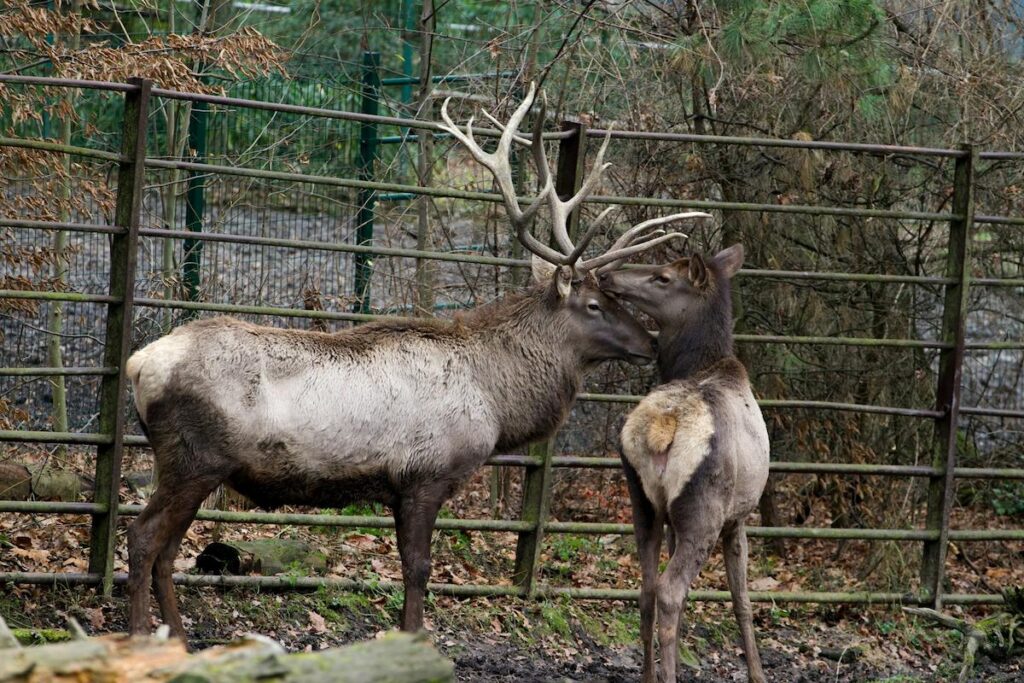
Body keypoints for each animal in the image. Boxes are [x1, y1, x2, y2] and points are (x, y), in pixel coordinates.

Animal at [123, 83, 711, 640]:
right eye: (594, 305)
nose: (649, 343)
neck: (497, 403)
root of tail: (138, 364)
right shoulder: (425, 475)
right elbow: (418, 569)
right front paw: (412, 636)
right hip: (194, 458)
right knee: (143, 536)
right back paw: (140, 631)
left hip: (191, 465)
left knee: (168, 549)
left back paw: (177, 634)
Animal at [598, 244, 770, 683]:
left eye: (662, 276)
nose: (607, 276)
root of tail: (666, 423)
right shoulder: (739, 517)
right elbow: (742, 600)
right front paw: (757, 674)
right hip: (703, 510)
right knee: (670, 591)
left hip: (643, 501)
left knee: (646, 589)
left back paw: (648, 676)